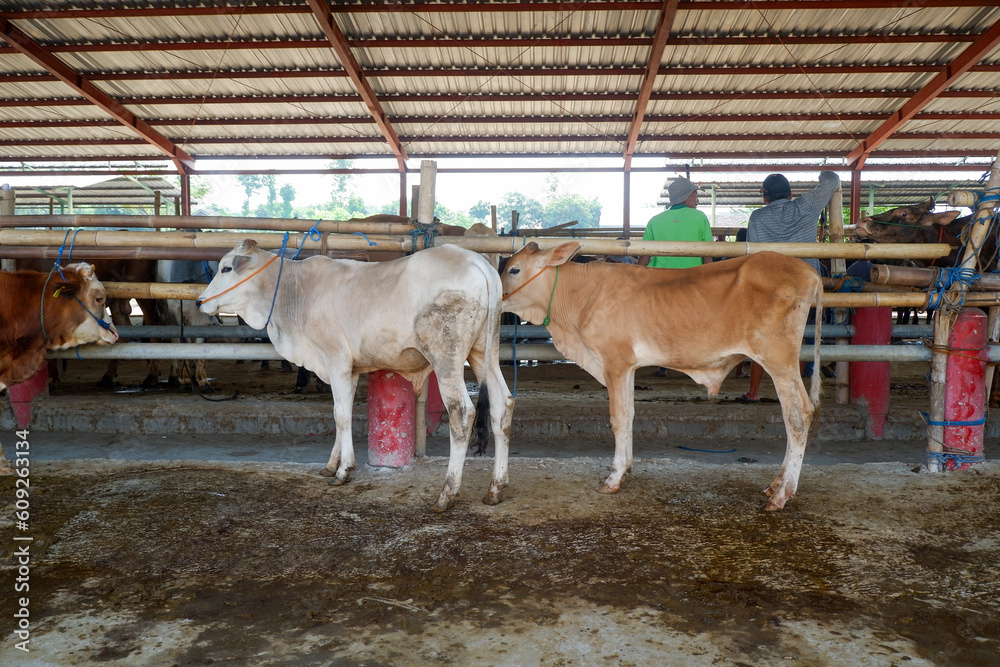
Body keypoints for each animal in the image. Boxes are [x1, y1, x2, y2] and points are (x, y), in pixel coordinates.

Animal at [195, 239, 514, 511]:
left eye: (226, 268)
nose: (199, 301)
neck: (296, 292)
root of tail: (476, 260)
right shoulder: (348, 368)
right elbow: (342, 409)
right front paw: (332, 464)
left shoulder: (335, 359)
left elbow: (341, 415)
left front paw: (343, 471)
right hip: (483, 353)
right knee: (503, 405)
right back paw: (496, 487)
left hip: (447, 358)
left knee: (462, 413)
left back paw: (447, 493)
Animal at [500, 242, 822, 511]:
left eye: (514, 269)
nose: (496, 294)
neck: (581, 298)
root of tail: (806, 270)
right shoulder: (628, 367)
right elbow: (629, 414)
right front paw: (626, 469)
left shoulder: (615, 361)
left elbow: (618, 418)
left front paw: (613, 478)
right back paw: (775, 485)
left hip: (778, 359)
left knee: (797, 415)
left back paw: (781, 495)